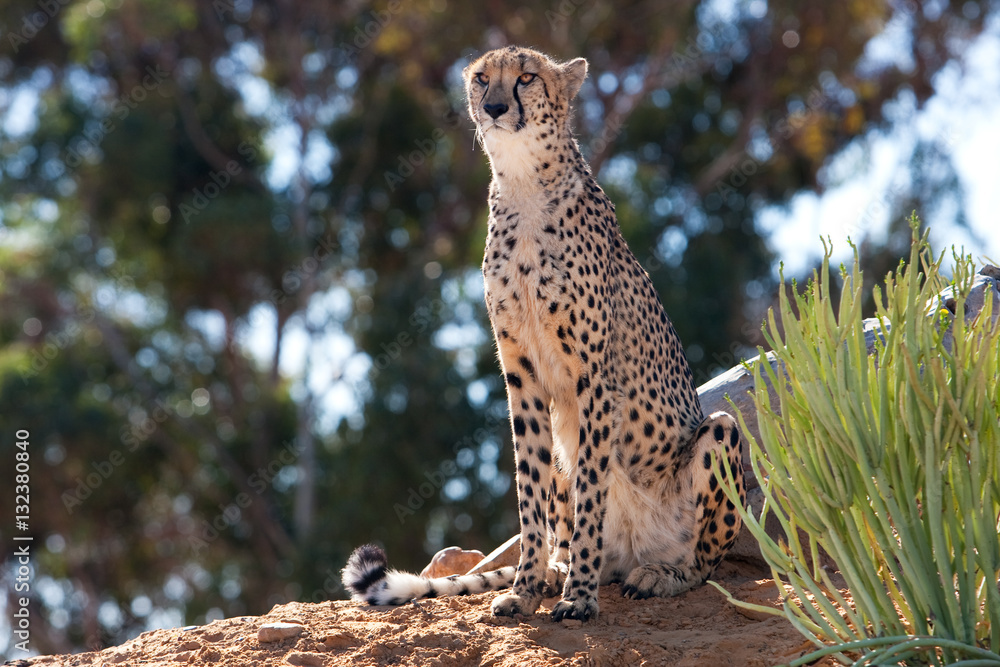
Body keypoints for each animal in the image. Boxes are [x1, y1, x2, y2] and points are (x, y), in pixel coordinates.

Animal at [343, 46, 746, 622]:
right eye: (482, 78)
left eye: (527, 77)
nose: (493, 107)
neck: (523, 183)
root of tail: (631, 554)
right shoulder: (522, 375)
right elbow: (529, 487)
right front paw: (528, 586)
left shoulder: (595, 380)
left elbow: (592, 491)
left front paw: (579, 597)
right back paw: (558, 569)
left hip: (719, 434)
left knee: (706, 559)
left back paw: (659, 574)